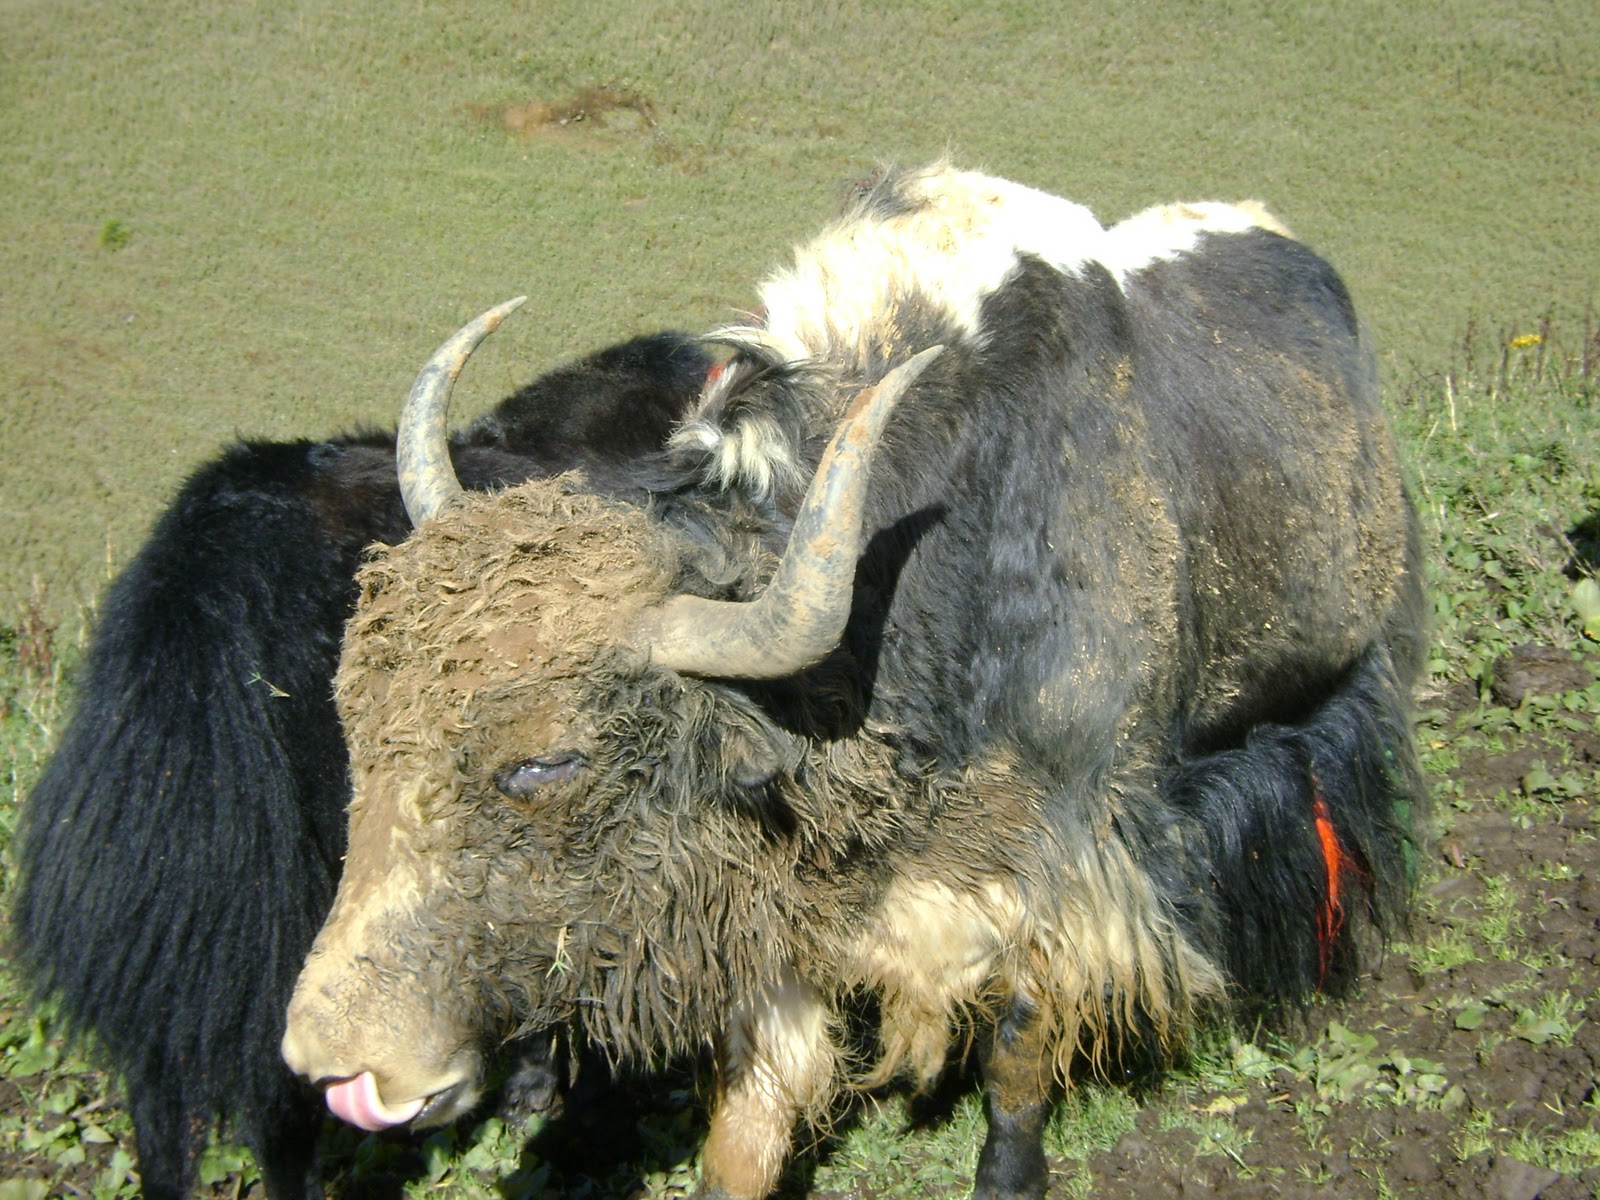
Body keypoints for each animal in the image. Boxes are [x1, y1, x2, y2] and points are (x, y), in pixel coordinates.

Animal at [282, 162, 1424, 1199]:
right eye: (358, 726)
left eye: (543, 764)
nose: (332, 1063)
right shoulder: (785, 902)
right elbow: (751, 1118)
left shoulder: (1061, 857)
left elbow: (1019, 1053)